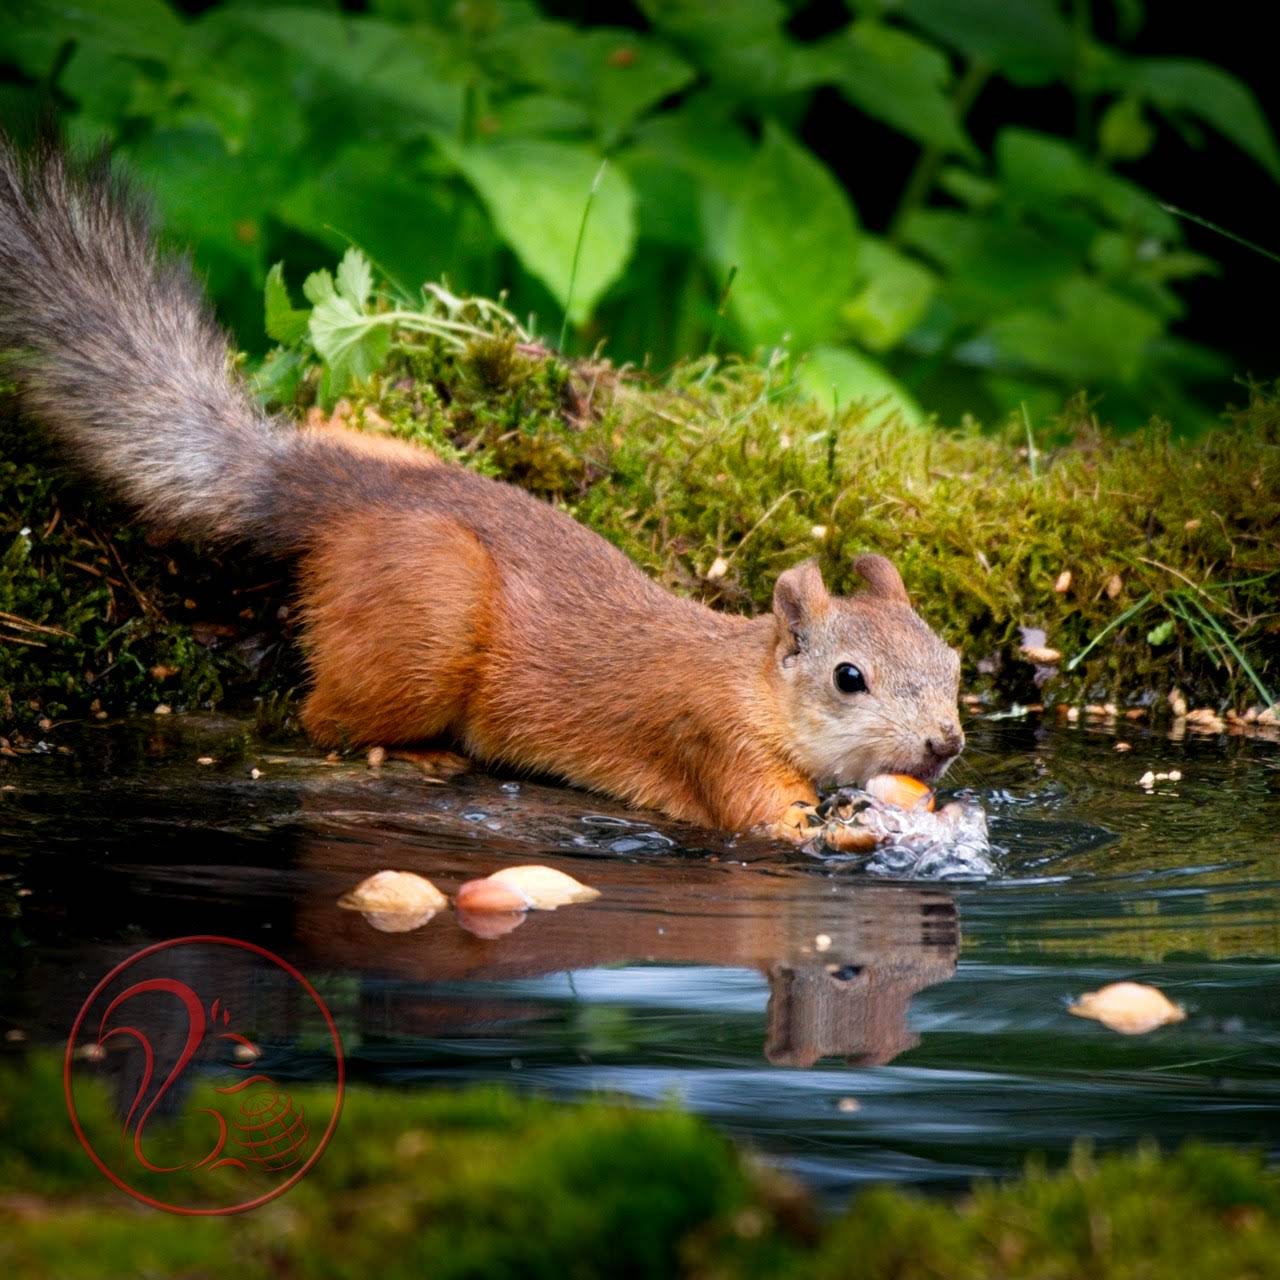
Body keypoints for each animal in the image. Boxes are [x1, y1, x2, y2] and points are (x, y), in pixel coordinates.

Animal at [0, 136, 964, 849]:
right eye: (848, 678)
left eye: (953, 660)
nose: (947, 743)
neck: (752, 681)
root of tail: (341, 494)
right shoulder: (711, 743)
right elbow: (767, 822)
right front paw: (854, 833)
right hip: (429, 613)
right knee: (322, 717)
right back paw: (412, 755)